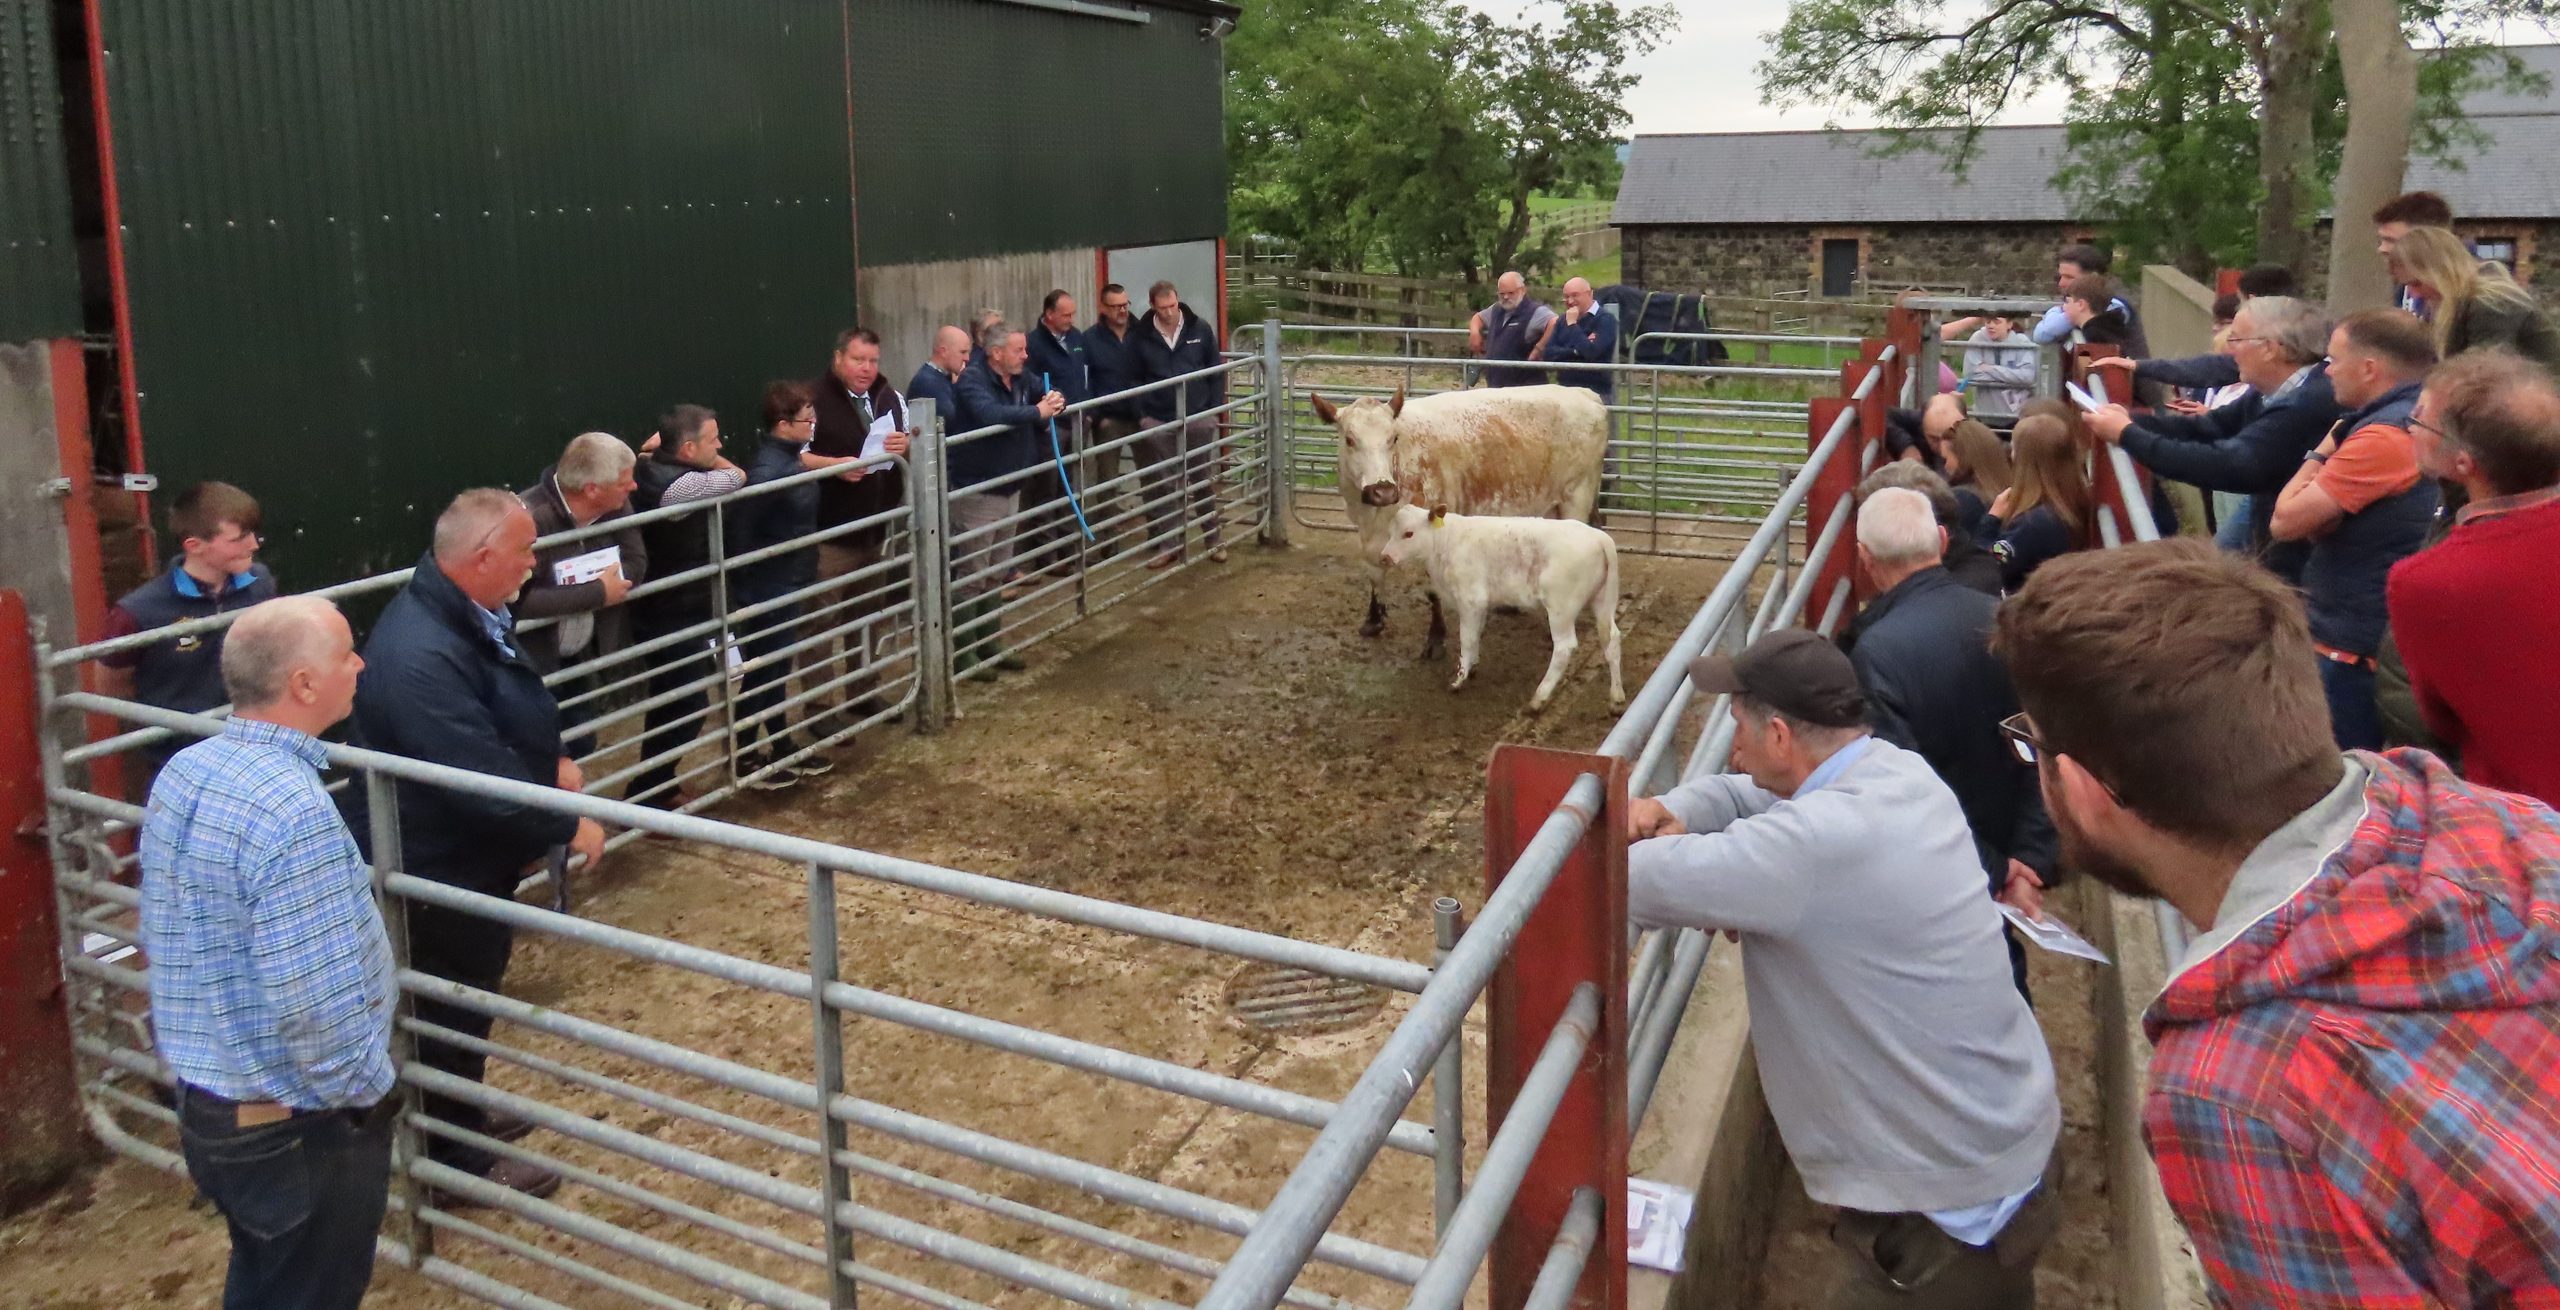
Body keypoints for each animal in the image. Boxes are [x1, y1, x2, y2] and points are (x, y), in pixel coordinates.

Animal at [1307, 383, 1607, 656]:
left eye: (1393, 438)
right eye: (1349, 439)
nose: (1383, 491)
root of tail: (1583, 393)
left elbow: (1432, 591)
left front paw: (1436, 638)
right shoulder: (1366, 535)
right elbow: (1374, 575)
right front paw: (1373, 620)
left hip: (1576, 497)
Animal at [1375, 504, 1623, 711]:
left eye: (1408, 533)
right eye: (1390, 532)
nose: (1384, 557)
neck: (1448, 540)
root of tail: (1599, 537)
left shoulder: (1471, 599)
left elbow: (1467, 637)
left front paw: (1459, 679)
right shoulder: (1480, 605)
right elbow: (1476, 634)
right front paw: (1472, 667)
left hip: (1561, 609)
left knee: (1564, 647)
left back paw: (1538, 698)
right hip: (1602, 602)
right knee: (1611, 639)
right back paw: (1616, 697)